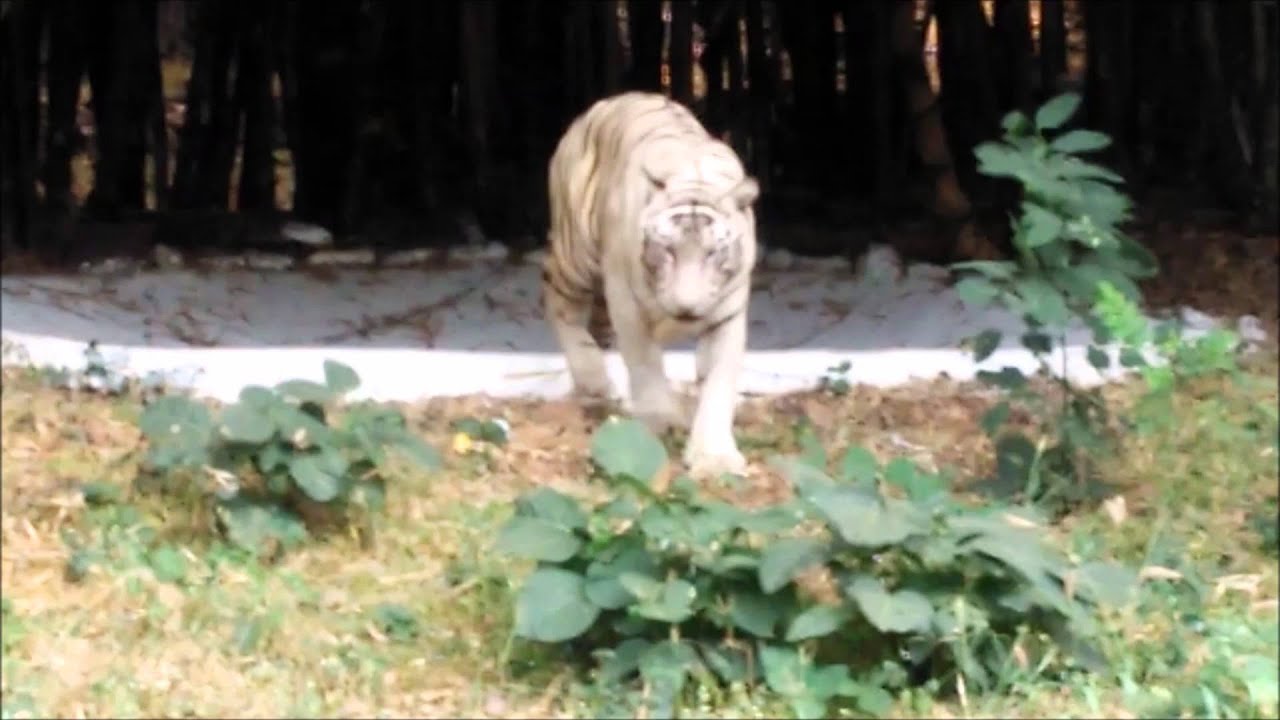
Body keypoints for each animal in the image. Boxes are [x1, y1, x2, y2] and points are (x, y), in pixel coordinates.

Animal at [541, 91, 761, 479]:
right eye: (668, 251)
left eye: (712, 253)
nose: (687, 308)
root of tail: (606, 103)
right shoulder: (626, 301)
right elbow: (644, 362)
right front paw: (661, 420)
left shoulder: (728, 315)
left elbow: (719, 383)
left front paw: (714, 458)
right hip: (576, 253)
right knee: (558, 299)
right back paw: (592, 379)